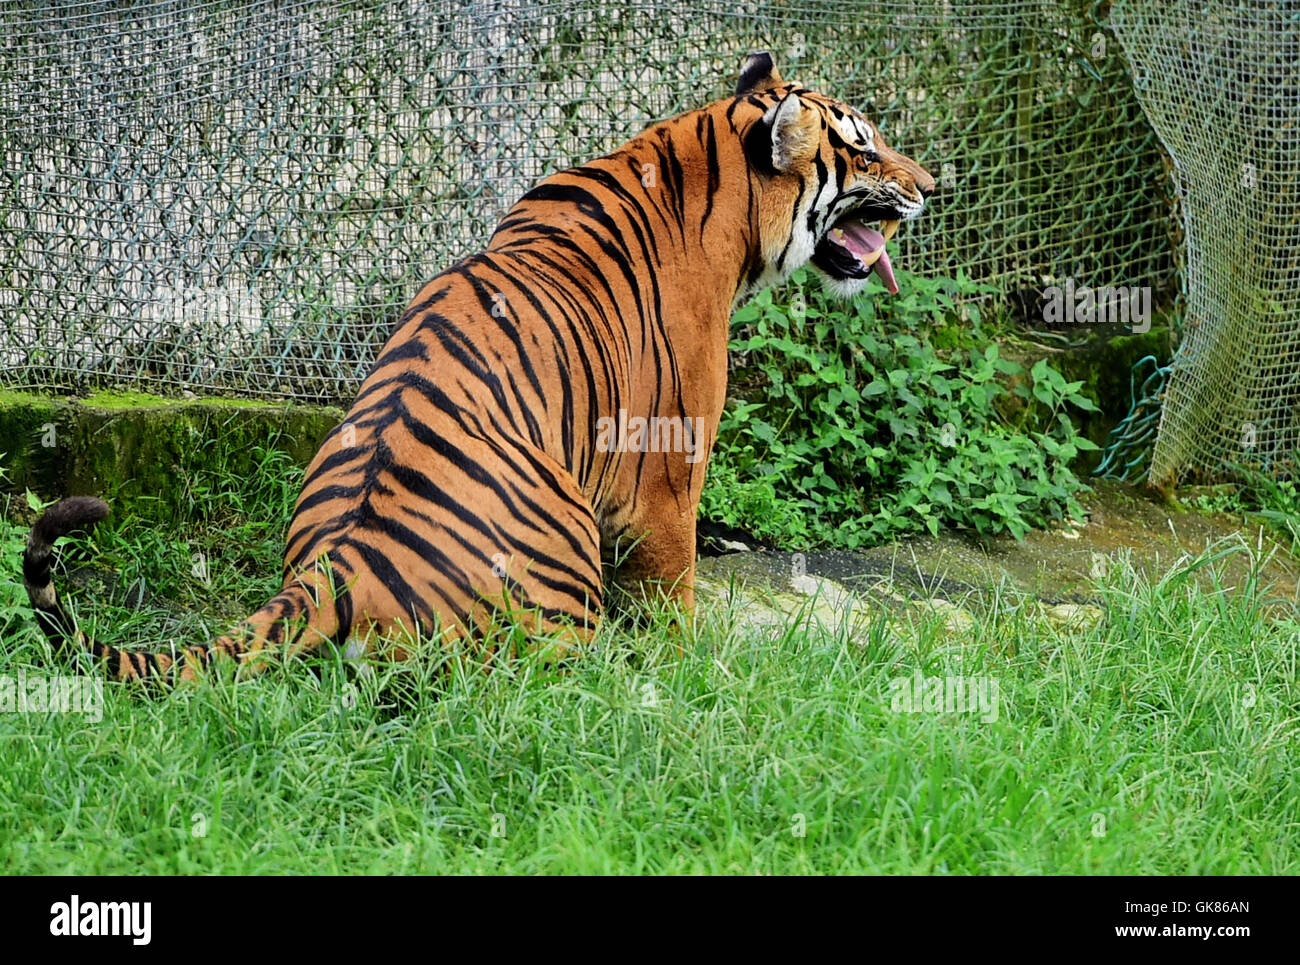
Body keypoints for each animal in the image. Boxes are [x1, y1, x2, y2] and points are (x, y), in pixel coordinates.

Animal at [23, 52, 934, 682]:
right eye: (863, 149)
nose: (932, 181)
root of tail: (338, 564)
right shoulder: (669, 475)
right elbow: (673, 596)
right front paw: (688, 671)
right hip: (564, 556)